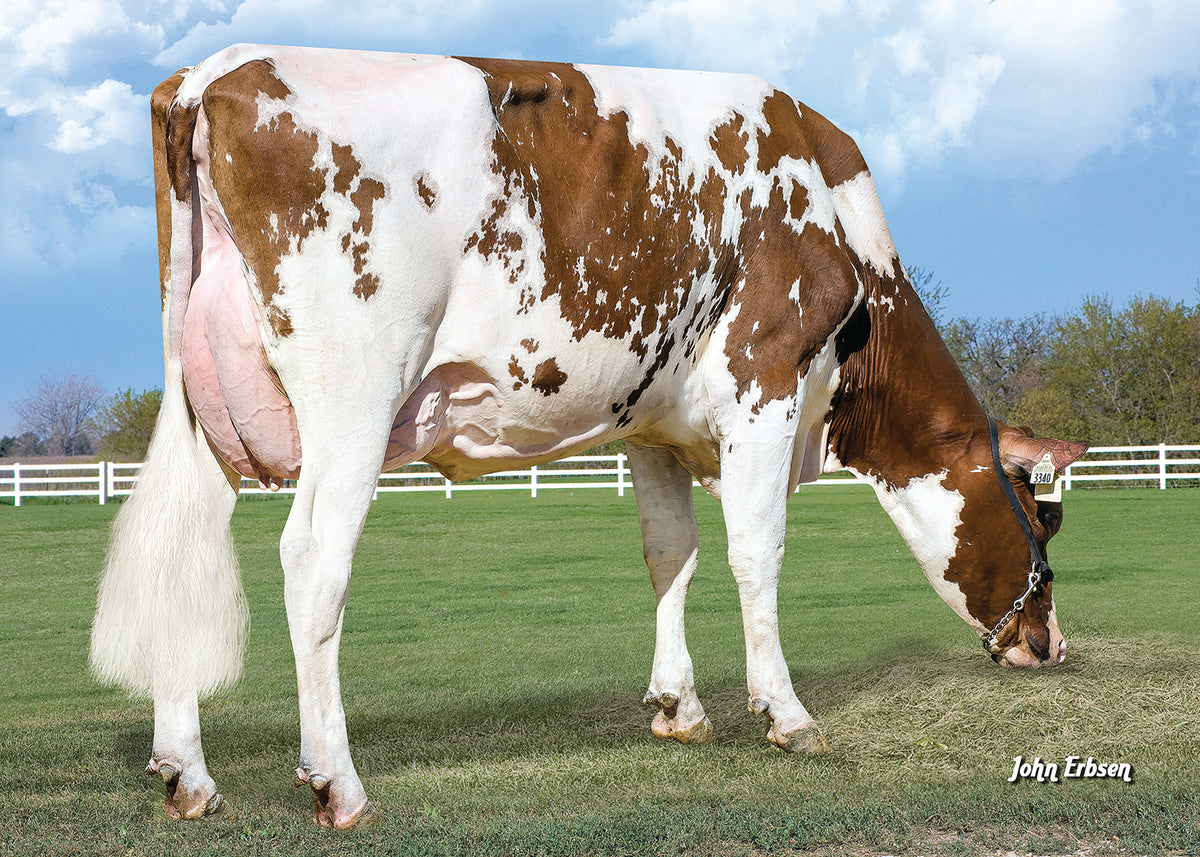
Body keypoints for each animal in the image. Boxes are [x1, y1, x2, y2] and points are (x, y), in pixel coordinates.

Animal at [91, 45, 1088, 829]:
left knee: (179, 558)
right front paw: (786, 713)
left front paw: (679, 705)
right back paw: (338, 782)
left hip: (199, 401)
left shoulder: (651, 421)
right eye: (1044, 523)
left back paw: (188, 774)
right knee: (312, 562)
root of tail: (216, 71)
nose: (1049, 645)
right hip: (354, 392)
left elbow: (671, 553)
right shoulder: (765, 381)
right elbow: (756, 551)